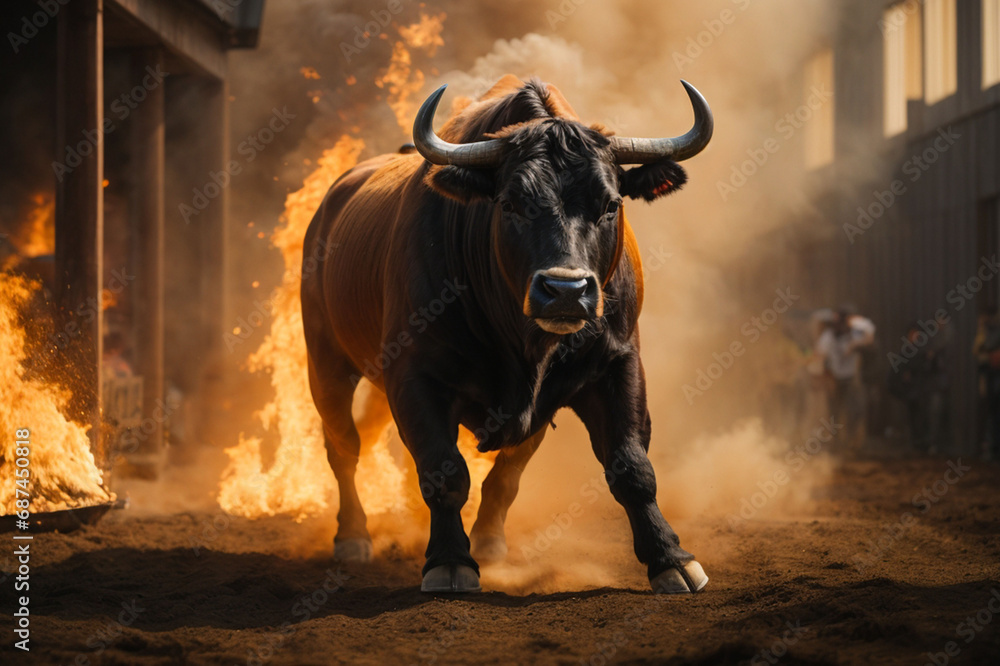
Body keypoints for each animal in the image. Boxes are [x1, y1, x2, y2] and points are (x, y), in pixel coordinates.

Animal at [301, 75, 713, 594]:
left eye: (610, 205)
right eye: (512, 204)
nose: (565, 290)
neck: (522, 346)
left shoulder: (618, 365)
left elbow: (631, 468)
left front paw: (670, 559)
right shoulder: (414, 376)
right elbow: (443, 471)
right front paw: (449, 561)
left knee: (506, 472)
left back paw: (489, 540)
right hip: (326, 362)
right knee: (344, 447)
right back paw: (353, 536)